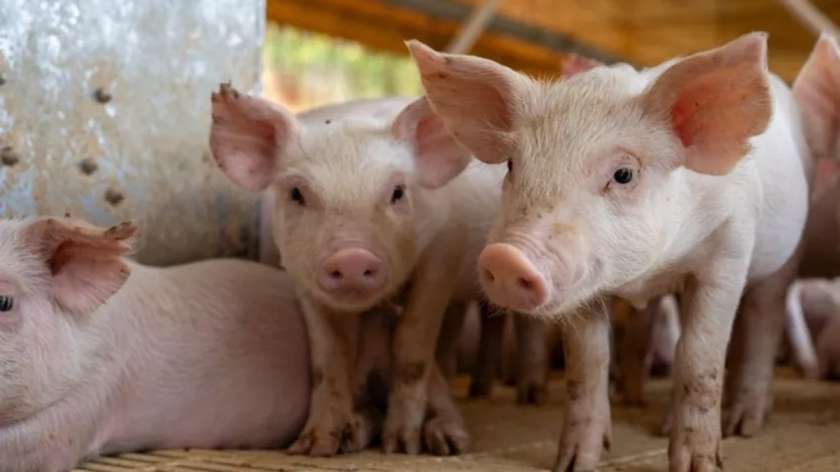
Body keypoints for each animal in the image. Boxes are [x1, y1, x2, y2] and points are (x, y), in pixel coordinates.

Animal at [210, 86, 503, 456]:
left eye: (398, 192)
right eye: (296, 193)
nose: (351, 257)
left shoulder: (443, 251)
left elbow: (412, 343)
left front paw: (401, 446)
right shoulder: (300, 277)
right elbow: (329, 357)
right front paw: (313, 446)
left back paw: (452, 439)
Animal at [409, 32, 810, 472]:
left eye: (624, 174)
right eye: (512, 165)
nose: (506, 258)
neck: (646, 275)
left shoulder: (730, 246)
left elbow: (699, 355)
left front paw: (699, 465)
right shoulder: (584, 289)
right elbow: (588, 363)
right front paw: (574, 463)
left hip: (785, 258)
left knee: (763, 321)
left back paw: (744, 424)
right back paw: (637, 403)